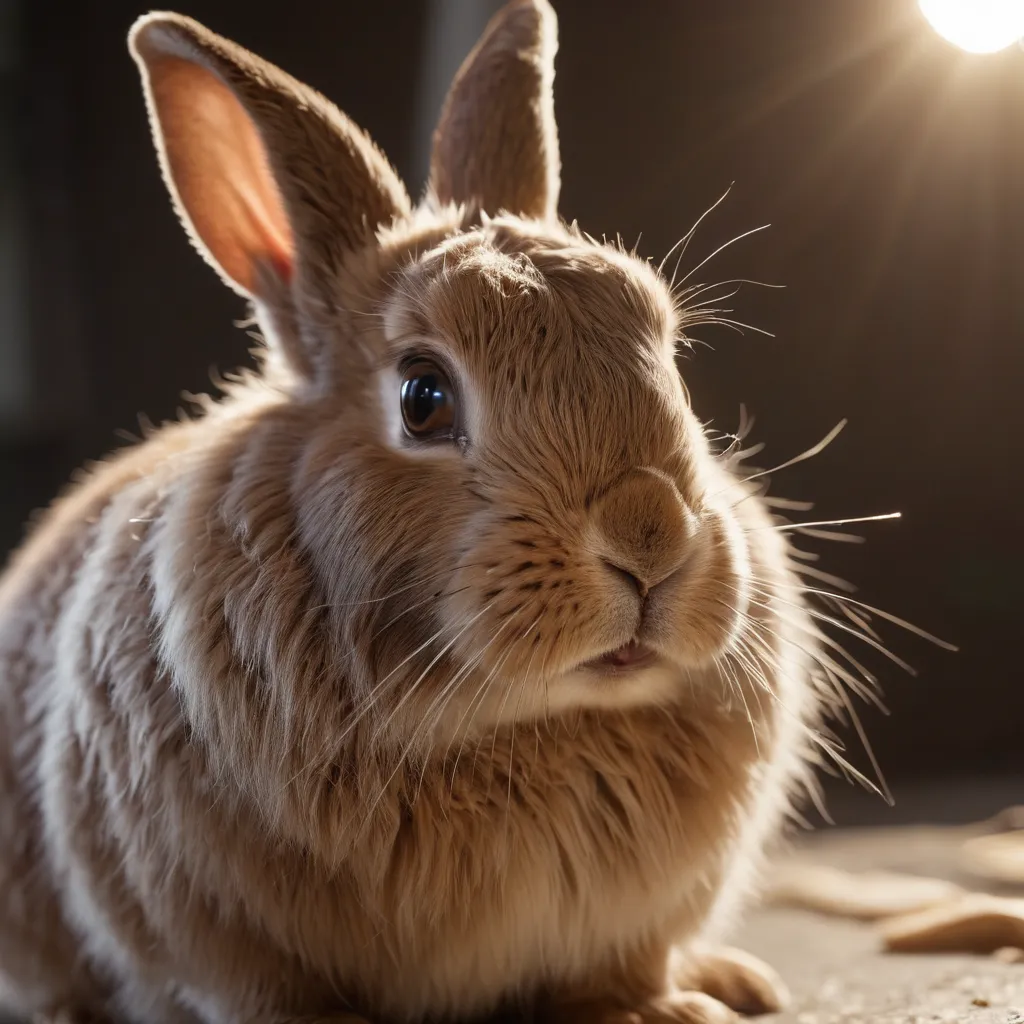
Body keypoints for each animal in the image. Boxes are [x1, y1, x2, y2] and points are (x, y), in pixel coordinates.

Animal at [0, 1, 830, 1022]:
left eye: (669, 355)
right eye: (423, 398)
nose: (651, 540)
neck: (516, 721)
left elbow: (616, 971)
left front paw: (662, 1007)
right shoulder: (219, 947)